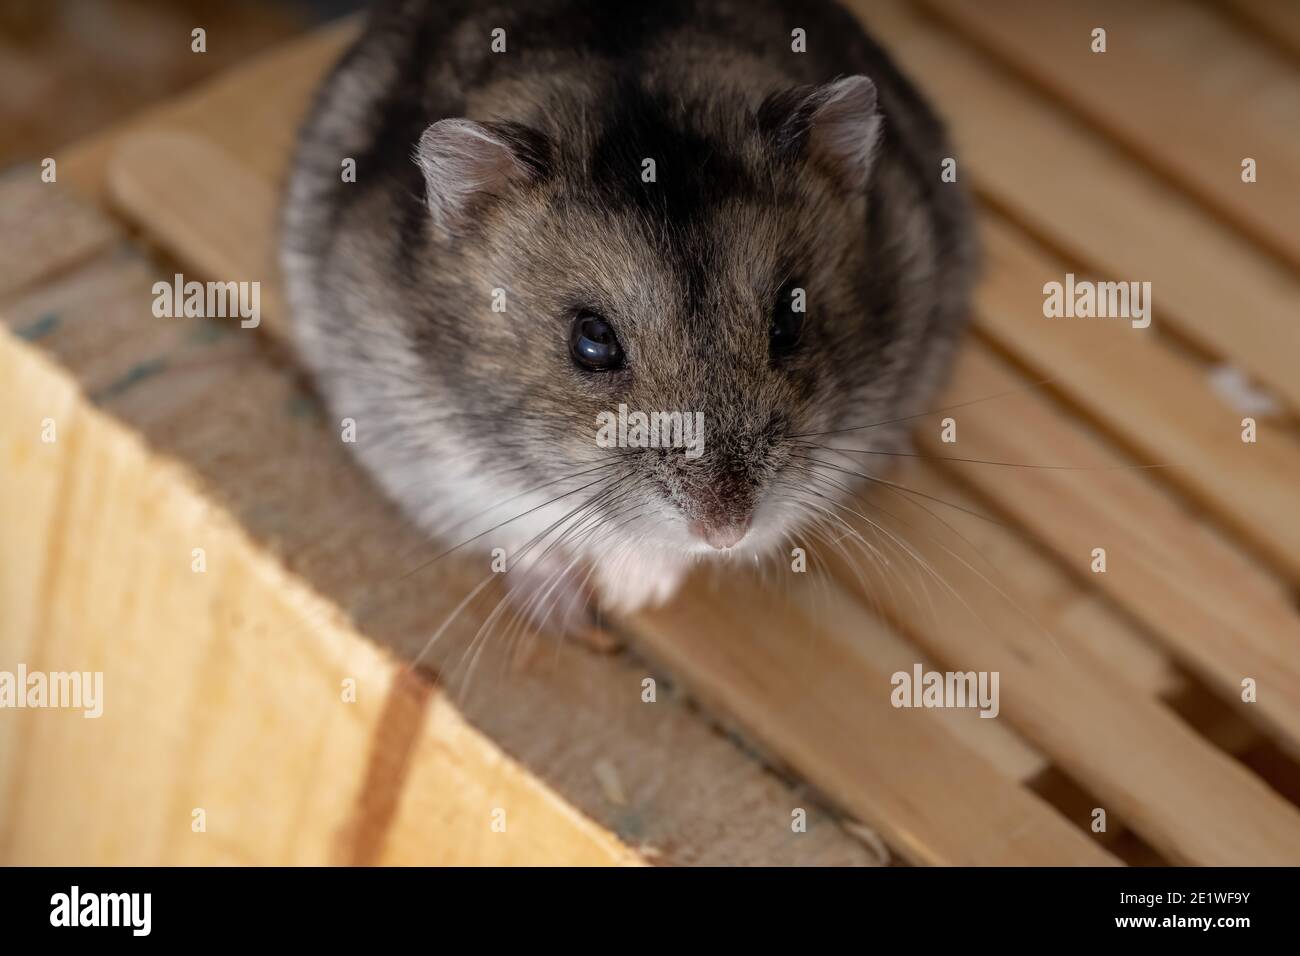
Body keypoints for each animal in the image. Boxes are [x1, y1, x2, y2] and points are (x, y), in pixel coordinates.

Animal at [281, 0, 977, 632]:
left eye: (790, 321)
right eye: (591, 341)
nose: (725, 533)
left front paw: (634, 590)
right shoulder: (415, 445)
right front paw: (571, 617)